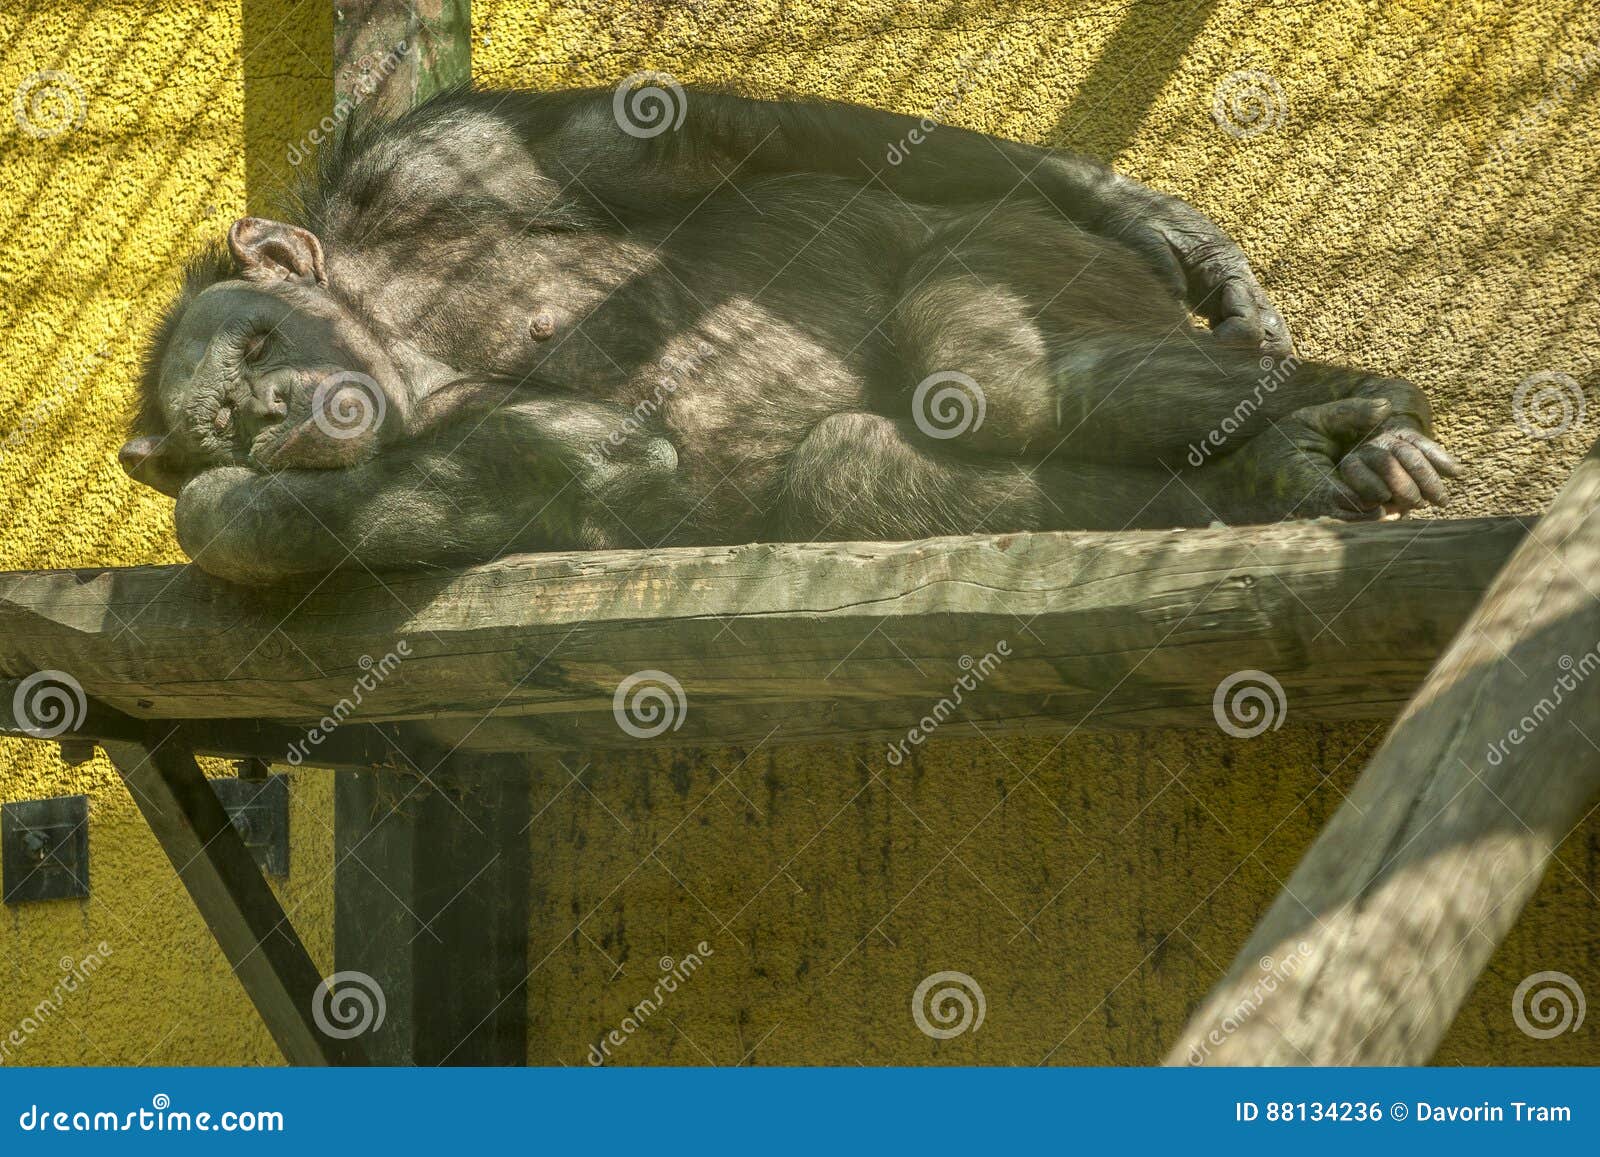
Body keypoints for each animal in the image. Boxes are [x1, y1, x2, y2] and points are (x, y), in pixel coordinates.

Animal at [119, 85, 1458, 585]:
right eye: (218, 415)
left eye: (256, 346)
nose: (271, 407)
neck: (394, 326)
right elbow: (592, 461)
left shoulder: (439, 158)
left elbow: (711, 135)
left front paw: (1161, 216)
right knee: (858, 460)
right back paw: (1283, 467)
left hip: (1029, 251)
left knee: (997, 372)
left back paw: (1356, 408)